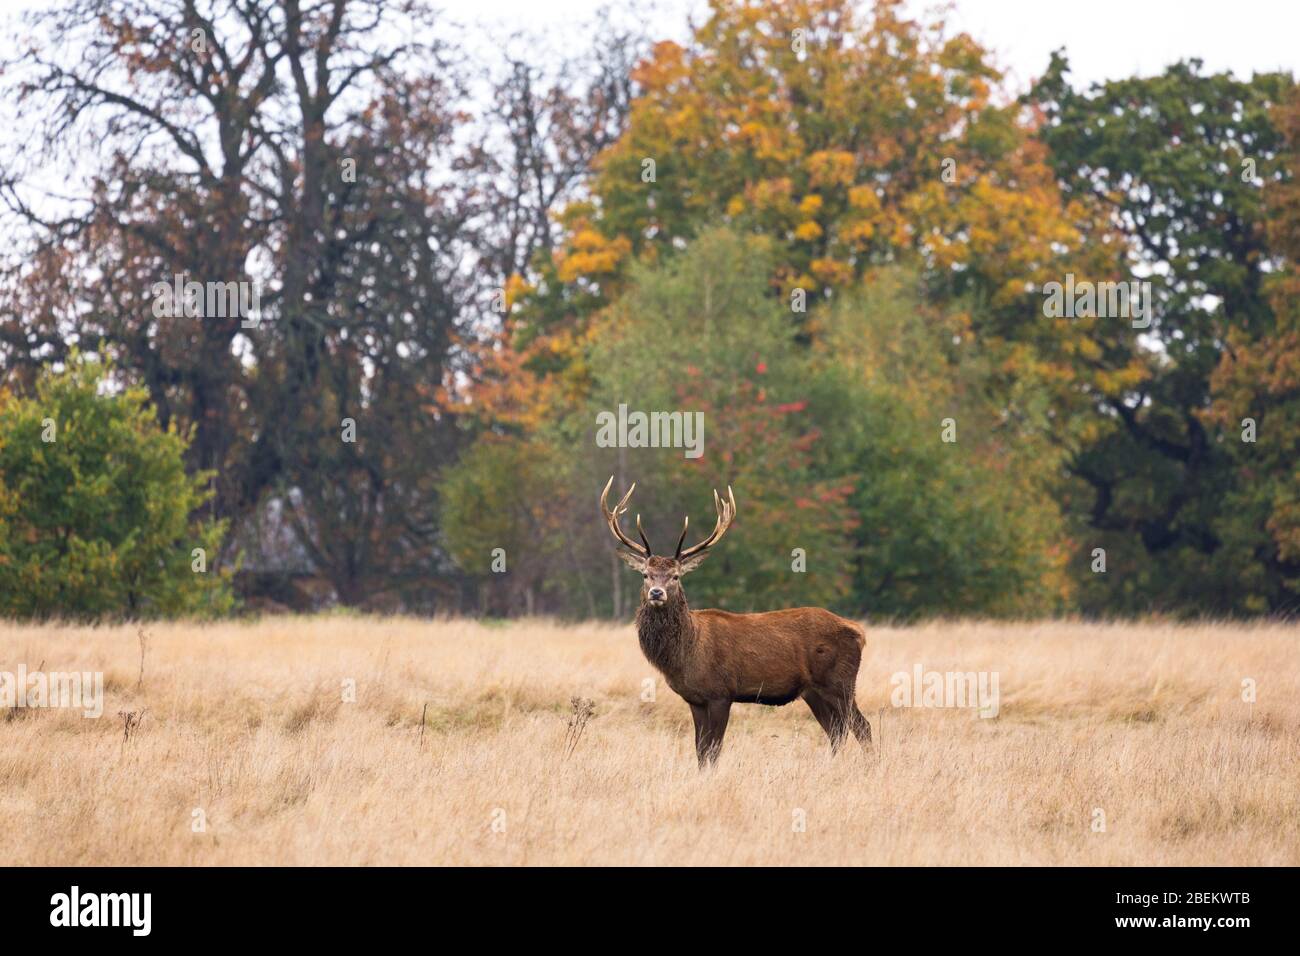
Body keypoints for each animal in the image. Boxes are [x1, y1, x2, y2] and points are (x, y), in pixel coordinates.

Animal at [601, 477, 871, 768]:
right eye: (645, 574)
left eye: (675, 576)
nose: (656, 593)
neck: (687, 652)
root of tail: (859, 632)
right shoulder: (695, 699)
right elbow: (700, 749)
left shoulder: (721, 693)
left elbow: (713, 749)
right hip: (813, 691)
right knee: (836, 731)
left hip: (840, 682)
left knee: (861, 727)